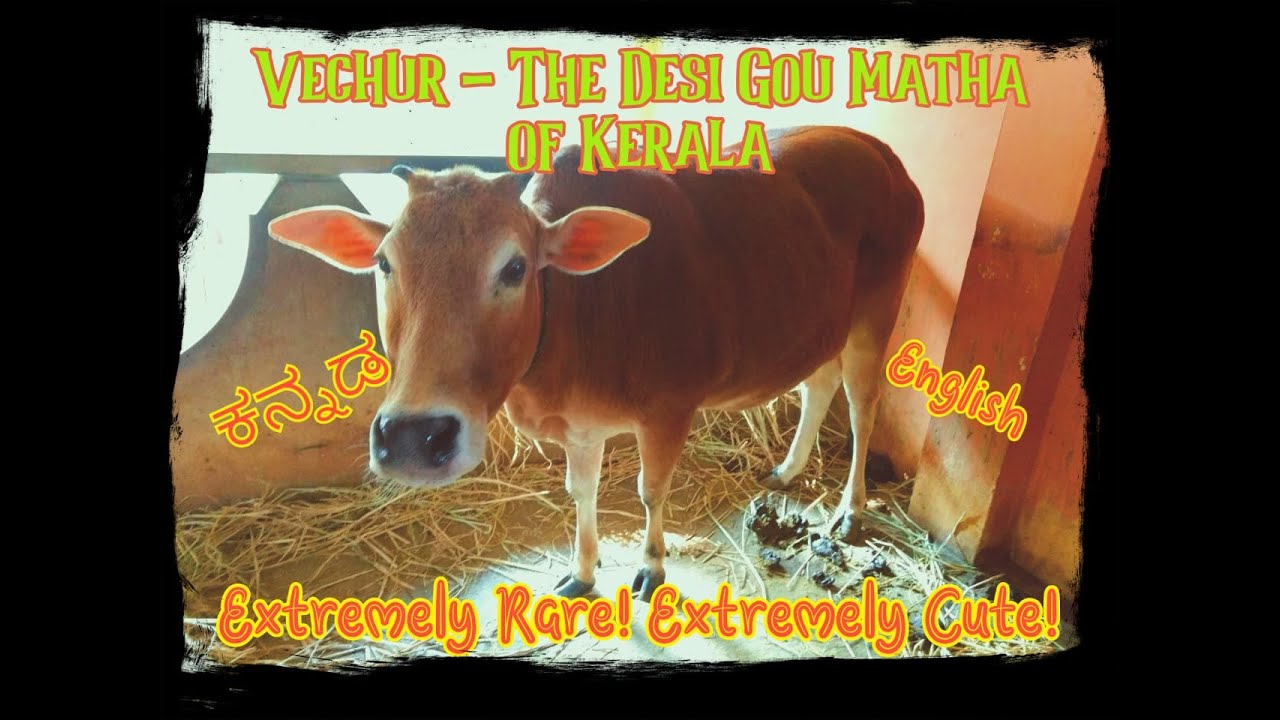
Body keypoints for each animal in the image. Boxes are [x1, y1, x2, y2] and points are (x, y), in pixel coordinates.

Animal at [267, 125, 924, 601]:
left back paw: (849, 511)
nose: (412, 437)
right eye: (384, 262)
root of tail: (882, 152)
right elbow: (579, 491)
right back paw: (788, 469)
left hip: (876, 315)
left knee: (863, 410)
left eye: (515, 267)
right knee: (818, 385)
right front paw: (583, 571)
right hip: (820, 324)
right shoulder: (579, 426)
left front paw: (652, 568)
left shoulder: (668, 411)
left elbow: (650, 492)